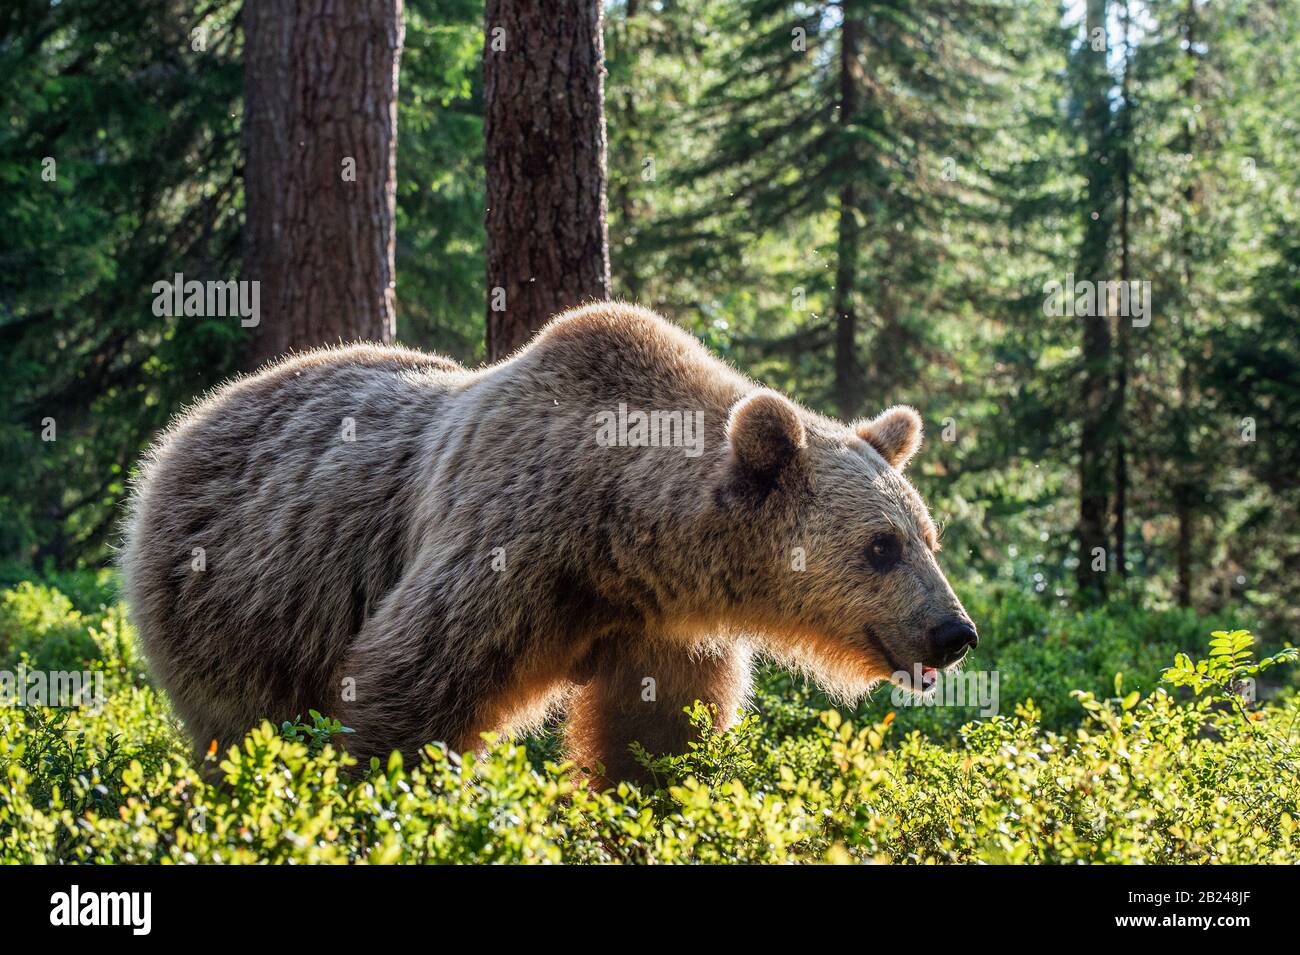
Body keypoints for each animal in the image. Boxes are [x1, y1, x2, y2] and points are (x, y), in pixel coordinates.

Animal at [121, 301, 976, 784]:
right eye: (881, 545)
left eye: (929, 536)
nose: (955, 630)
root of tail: (182, 427)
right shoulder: (506, 555)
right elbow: (403, 700)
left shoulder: (664, 632)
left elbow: (655, 743)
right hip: (241, 598)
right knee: (242, 724)